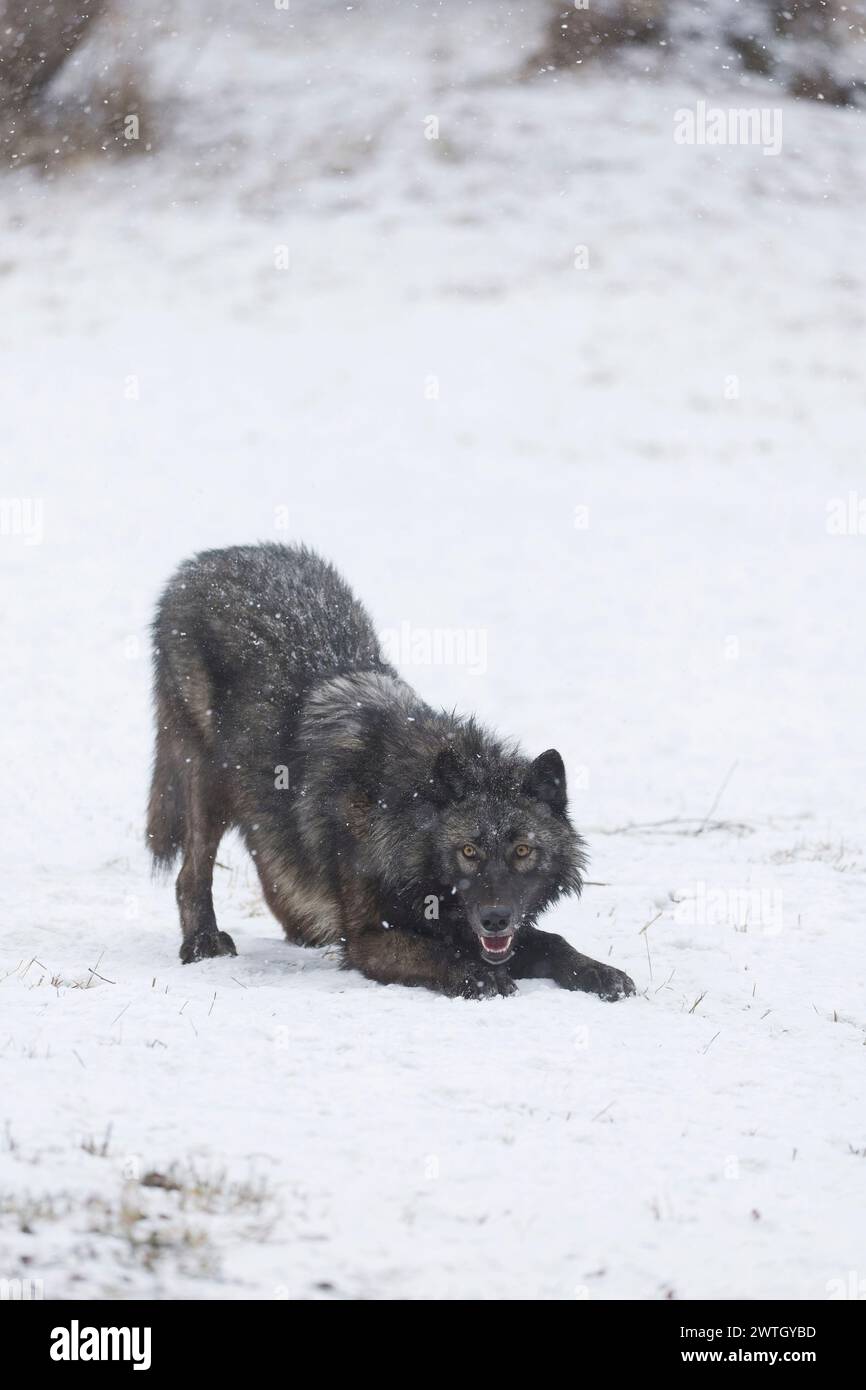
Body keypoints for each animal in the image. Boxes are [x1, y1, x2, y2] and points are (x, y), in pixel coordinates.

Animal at [147, 544, 635, 1001]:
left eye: (522, 850)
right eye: (469, 851)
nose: (495, 918)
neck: (401, 818)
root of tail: (208, 558)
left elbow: (554, 942)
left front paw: (599, 971)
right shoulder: (370, 939)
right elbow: (437, 951)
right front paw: (481, 977)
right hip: (206, 780)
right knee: (192, 872)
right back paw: (203, 944)